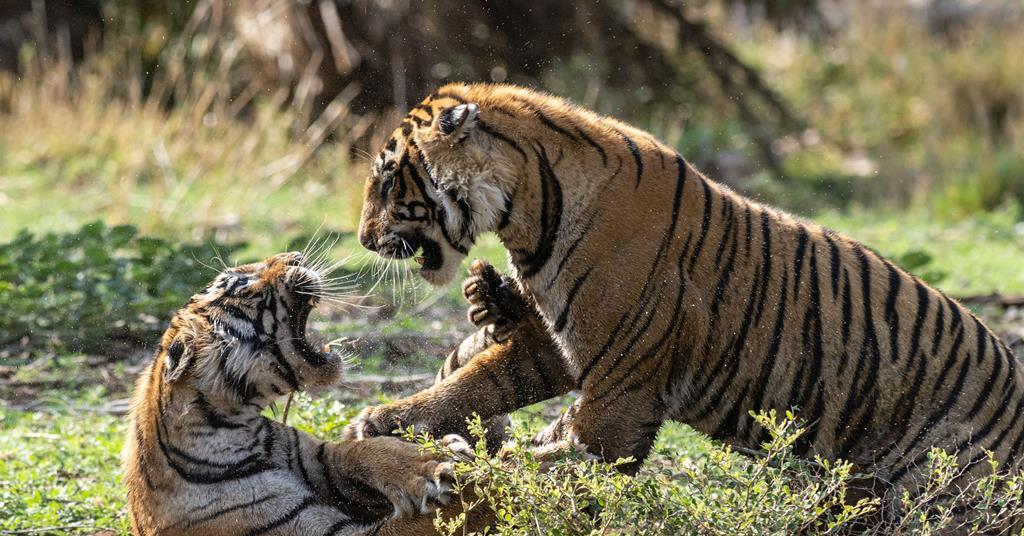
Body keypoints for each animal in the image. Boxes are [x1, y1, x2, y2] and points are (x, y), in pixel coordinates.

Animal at [121, 251, 489, 535]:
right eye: (239, 283)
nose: (297, 257)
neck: (237, 426)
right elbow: (443, 516)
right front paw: (484, 483)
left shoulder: (315, 457)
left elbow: (364, 449)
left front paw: (436, 457)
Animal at [349, 82, 1024, 496]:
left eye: (387, 177)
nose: (360, 237)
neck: (529, 213)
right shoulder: (555, 345)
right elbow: (475, 383)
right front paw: (381, 422)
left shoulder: (620, 392)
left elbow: (549, 457)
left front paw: (459, 459)